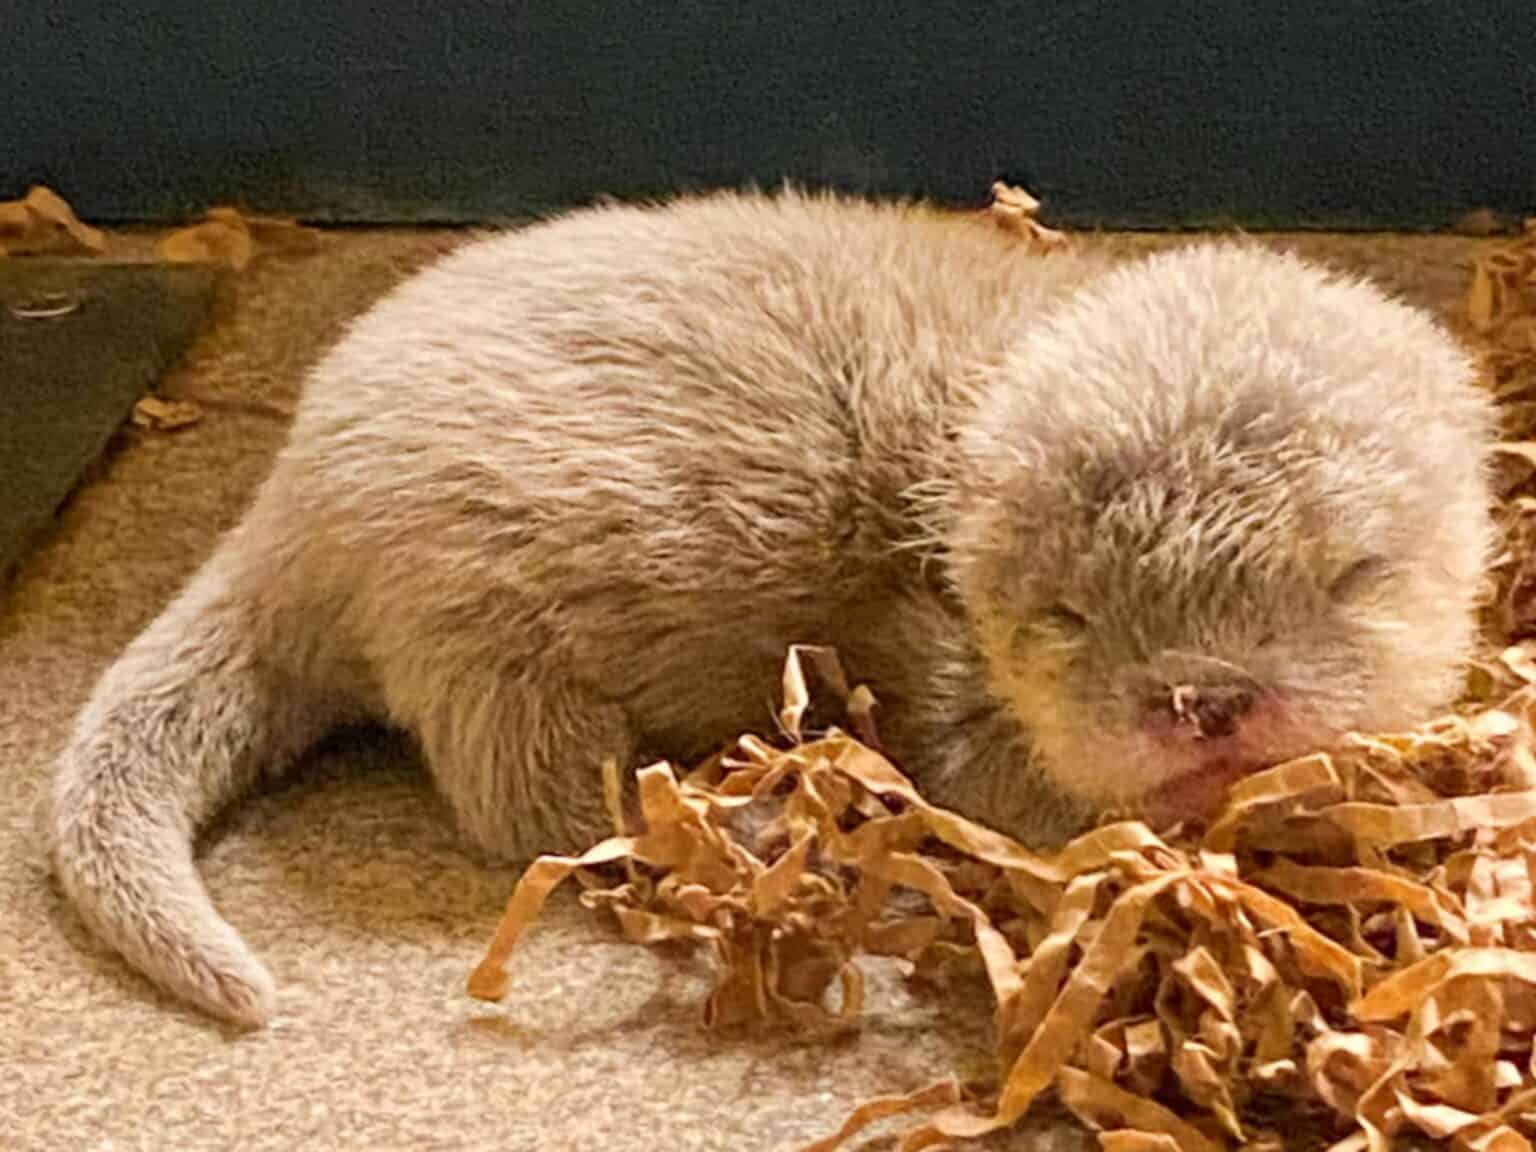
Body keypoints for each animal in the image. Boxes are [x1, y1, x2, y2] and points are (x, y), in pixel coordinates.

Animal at [45, 190, 1495, 1028]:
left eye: (1356, 572)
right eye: (1068, 612)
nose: (1204, 700)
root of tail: (296, 489)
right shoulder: (938, 663)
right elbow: (993, 773)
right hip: (479, 617)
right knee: (528, 802)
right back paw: (734, 820)